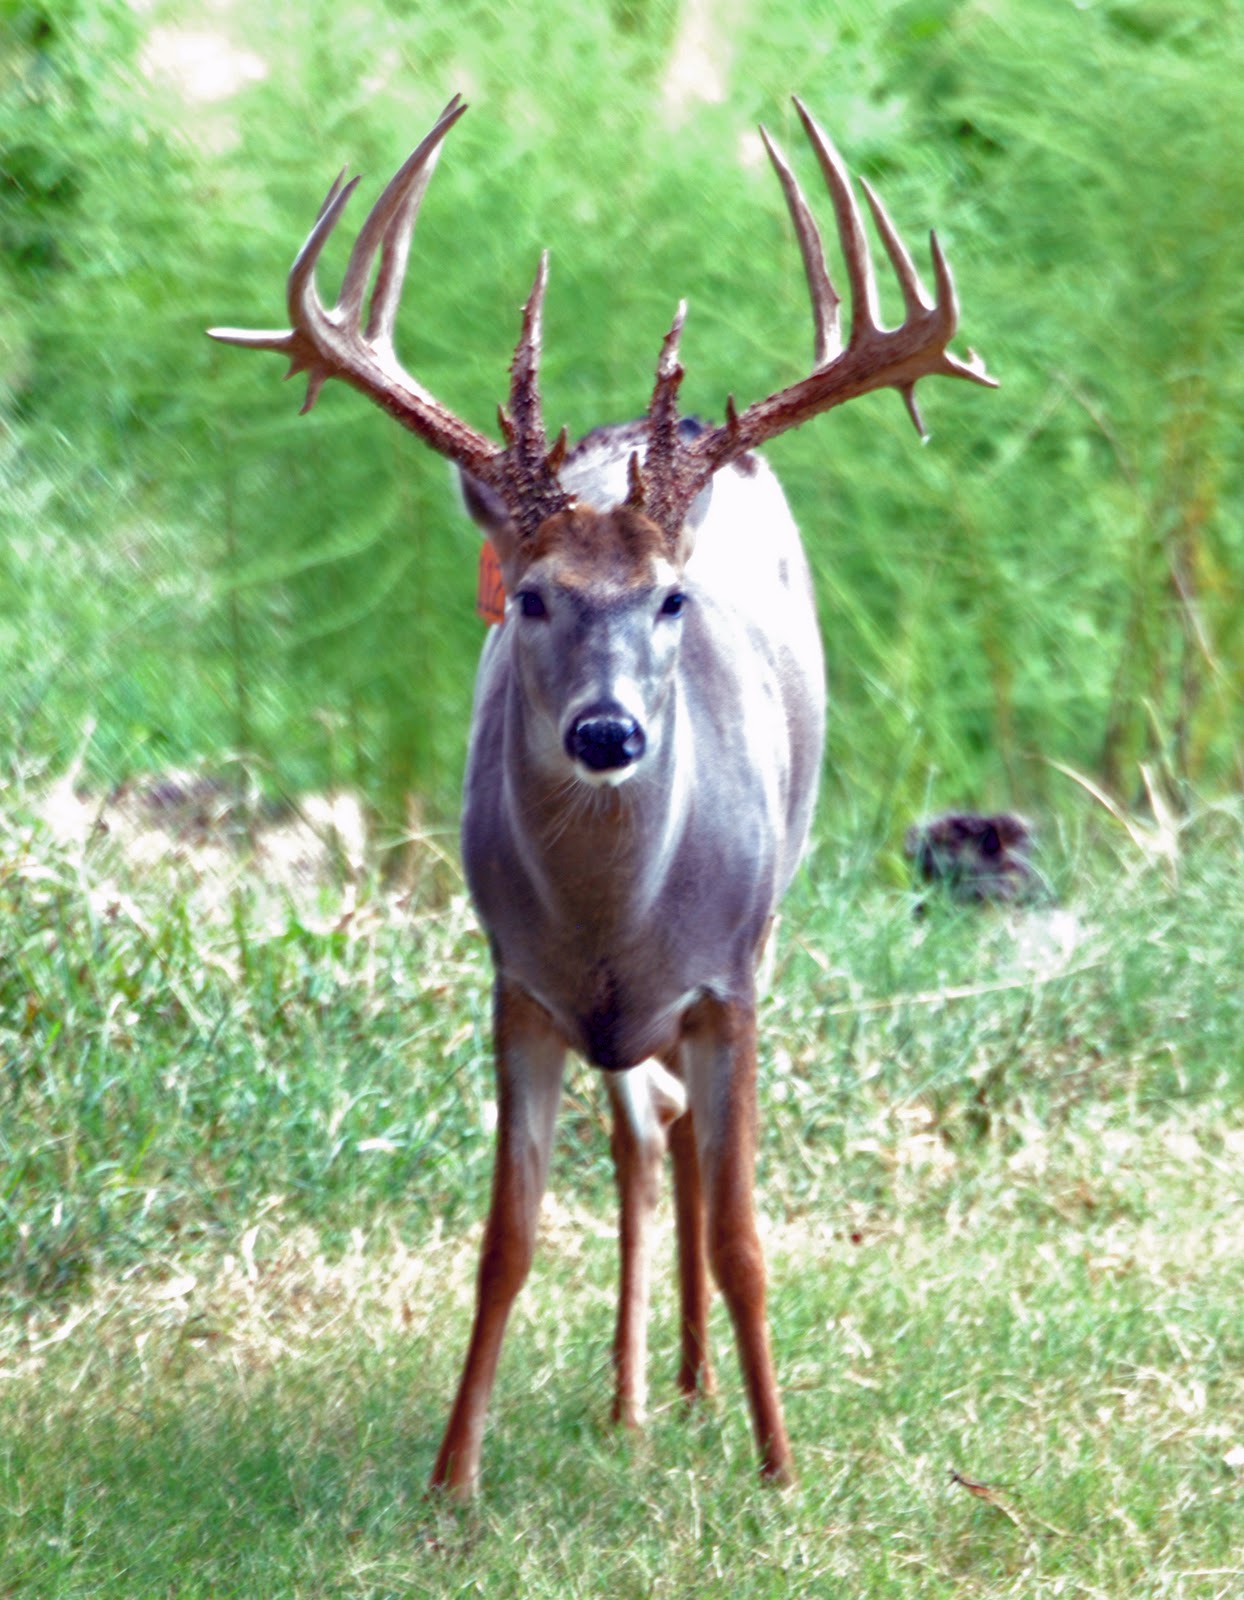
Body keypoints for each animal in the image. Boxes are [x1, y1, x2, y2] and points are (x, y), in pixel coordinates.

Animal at [209, 94, 994, 1498]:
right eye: (529, 597)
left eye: (669, 599)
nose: (608, 728)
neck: (611, 913)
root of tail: (655, 432)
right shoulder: (518, 982)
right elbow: (505, 1241)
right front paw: (451, 1479)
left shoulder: (728, 980)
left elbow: (745, 1237)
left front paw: (778, 1467)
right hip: (612, 1021)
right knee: (647, 1131)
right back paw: (643, 1392)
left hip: (768, 909)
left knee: (679, 1137)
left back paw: (695, 1387)